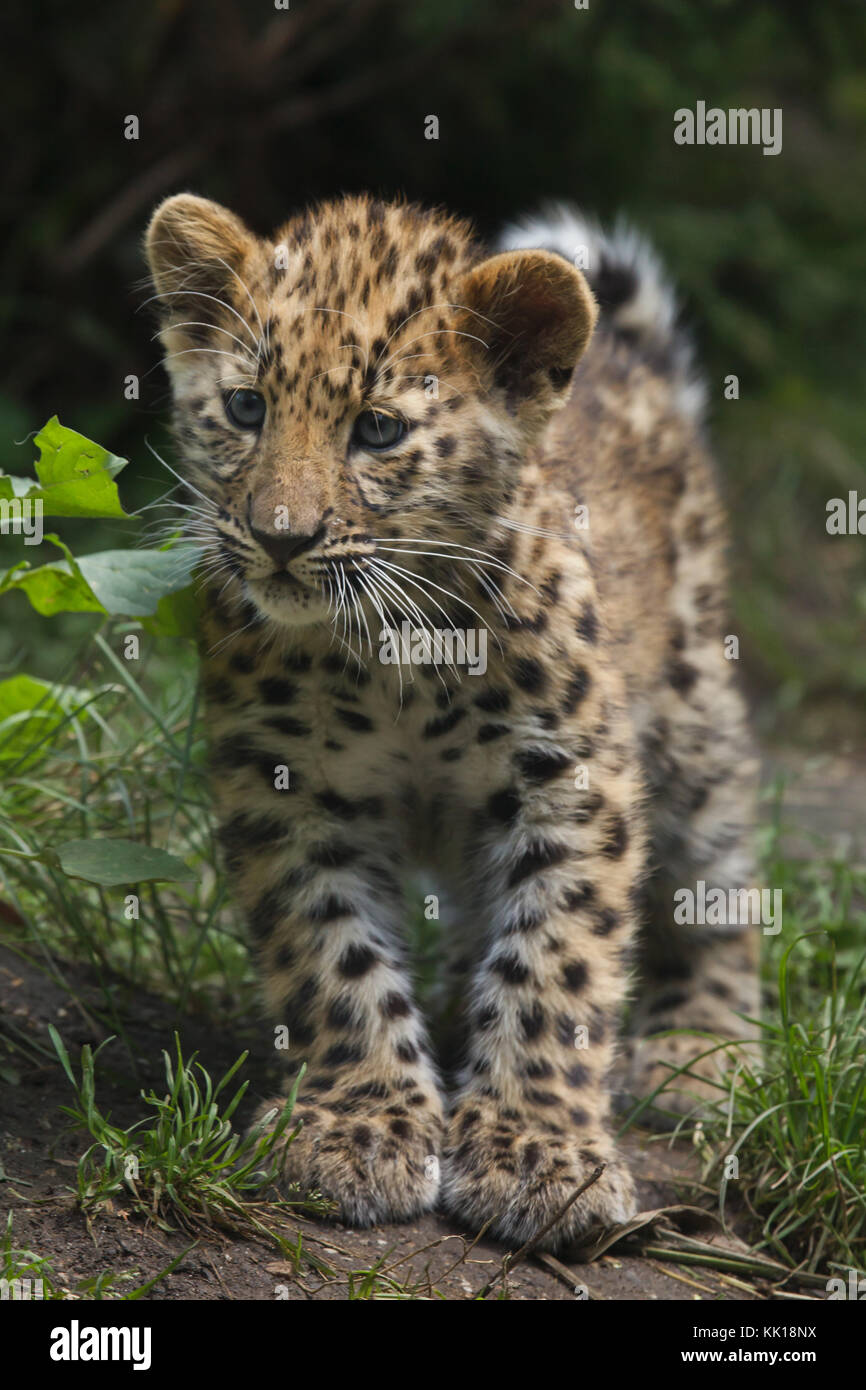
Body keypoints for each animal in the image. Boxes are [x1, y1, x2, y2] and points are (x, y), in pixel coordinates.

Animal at [143, 191, 761, 1250]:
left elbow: (558, 961)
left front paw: (538, 1152)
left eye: (379, 429)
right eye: (246, 408)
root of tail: (629, 368)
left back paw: (703, 1049)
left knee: (720, 874)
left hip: (691, 718)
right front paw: (358, 1126)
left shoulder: (569, 780)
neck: (395, 651)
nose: (278, 538)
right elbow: (331, 956)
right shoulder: (290, 787)